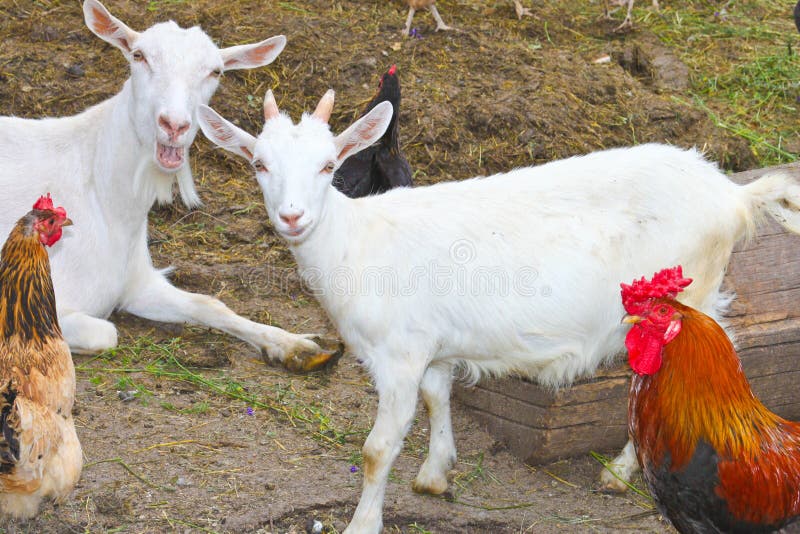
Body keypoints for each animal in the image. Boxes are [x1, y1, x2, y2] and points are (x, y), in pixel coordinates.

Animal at [0, 0, 337, 371]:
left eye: (215, 72)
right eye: (139, 55)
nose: (174, 125)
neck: (102, 197)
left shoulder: (139, 283)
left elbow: (210, 303)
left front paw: (296, 345)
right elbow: (104, 332)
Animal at [197, 89, 800, 533]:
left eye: (329, 166)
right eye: (259, 164)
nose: (292, 217)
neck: (357, 241)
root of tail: (734, 196)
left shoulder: (397, 355)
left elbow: (377, 449)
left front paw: (363, 523)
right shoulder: (432, 346)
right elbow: (438, 397)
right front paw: (436, 473)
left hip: (690, 291)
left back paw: (623, 470)